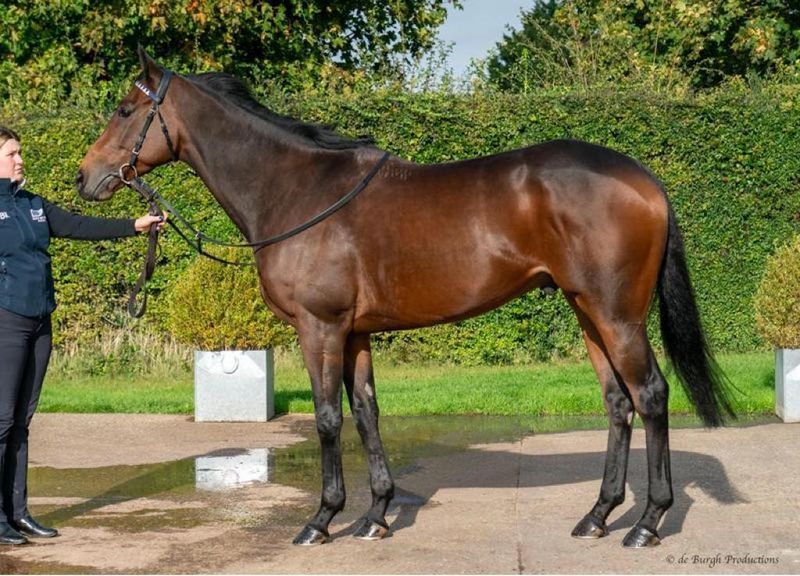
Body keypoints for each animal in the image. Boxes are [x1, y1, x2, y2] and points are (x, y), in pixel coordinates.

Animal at [76, 47, 734, 548]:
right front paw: (375, 515)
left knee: (650, 395)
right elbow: (366, 413)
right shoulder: (355, 332)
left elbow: (327, 418)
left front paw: (321, 520)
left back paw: (647, 523)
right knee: (618, 403)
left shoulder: (318, 327)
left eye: (126, 108)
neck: (297, 190)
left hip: (616, 314)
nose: (85, 178)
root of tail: (646, 181)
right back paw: (597, 516)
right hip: (587, 311)